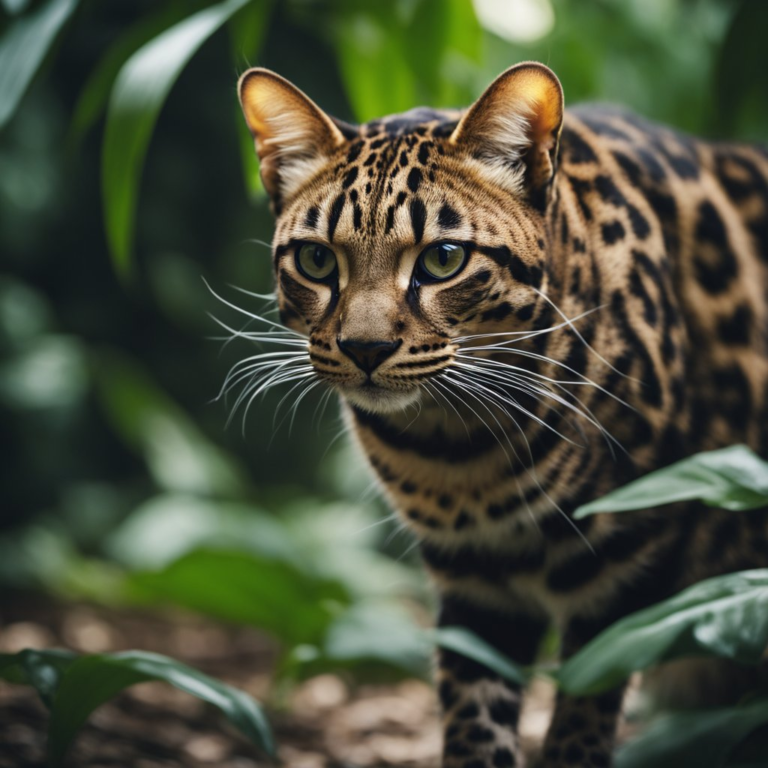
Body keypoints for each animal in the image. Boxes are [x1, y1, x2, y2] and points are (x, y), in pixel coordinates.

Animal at [235, 61, 768, 767]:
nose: (365, 349)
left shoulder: (629, 564)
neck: (458, 442)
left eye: (443, 259)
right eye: (317, 259)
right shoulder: (475, 582)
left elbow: (583, 713)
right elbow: (474, 716)